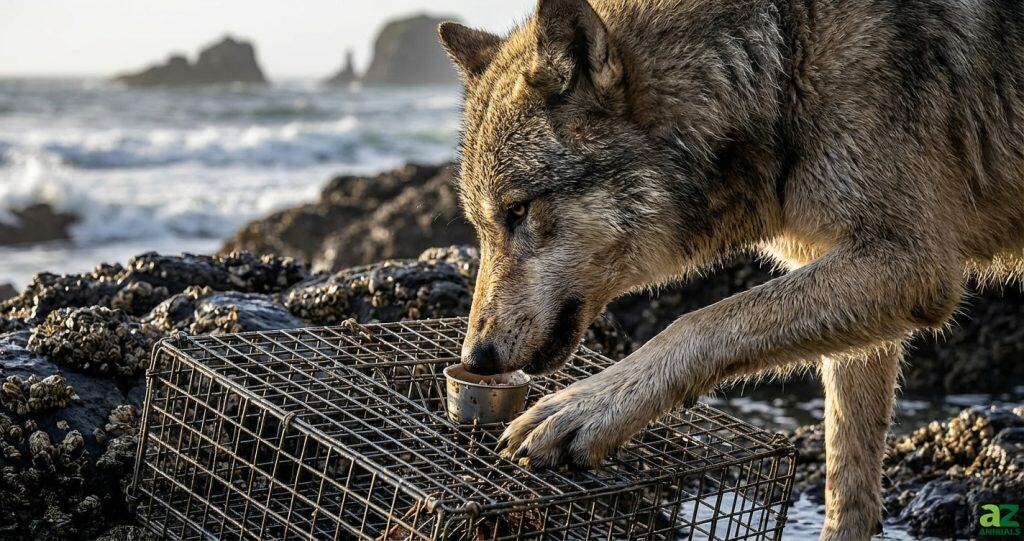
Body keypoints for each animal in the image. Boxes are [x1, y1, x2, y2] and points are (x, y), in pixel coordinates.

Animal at [438, 0, 1024, 538]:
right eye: (481, 227)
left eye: (518, 211)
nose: (476, 358)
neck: (781, 66)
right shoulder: (865, 279)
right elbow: (847, 475)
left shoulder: (910, 263)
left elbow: (697, 324)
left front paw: (584, 408)